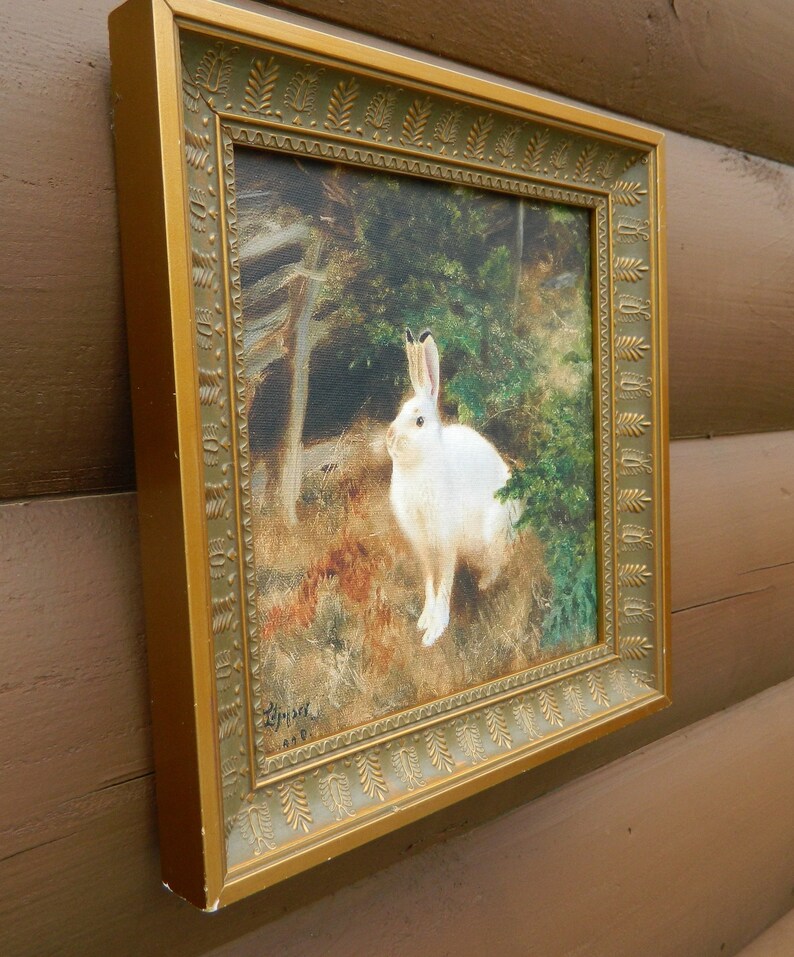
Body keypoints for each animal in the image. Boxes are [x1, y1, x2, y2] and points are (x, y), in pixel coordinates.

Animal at [386, 329, 521, 647]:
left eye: (419, 421)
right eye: (398, 412)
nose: (389, 438)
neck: (419, 466)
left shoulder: (446, 542)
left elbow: (444, 583)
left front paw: (435, 631)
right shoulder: (422, 546)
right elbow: (429, 583)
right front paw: (425, 619)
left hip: (492, 529)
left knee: (500, 558)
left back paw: (485, 583)